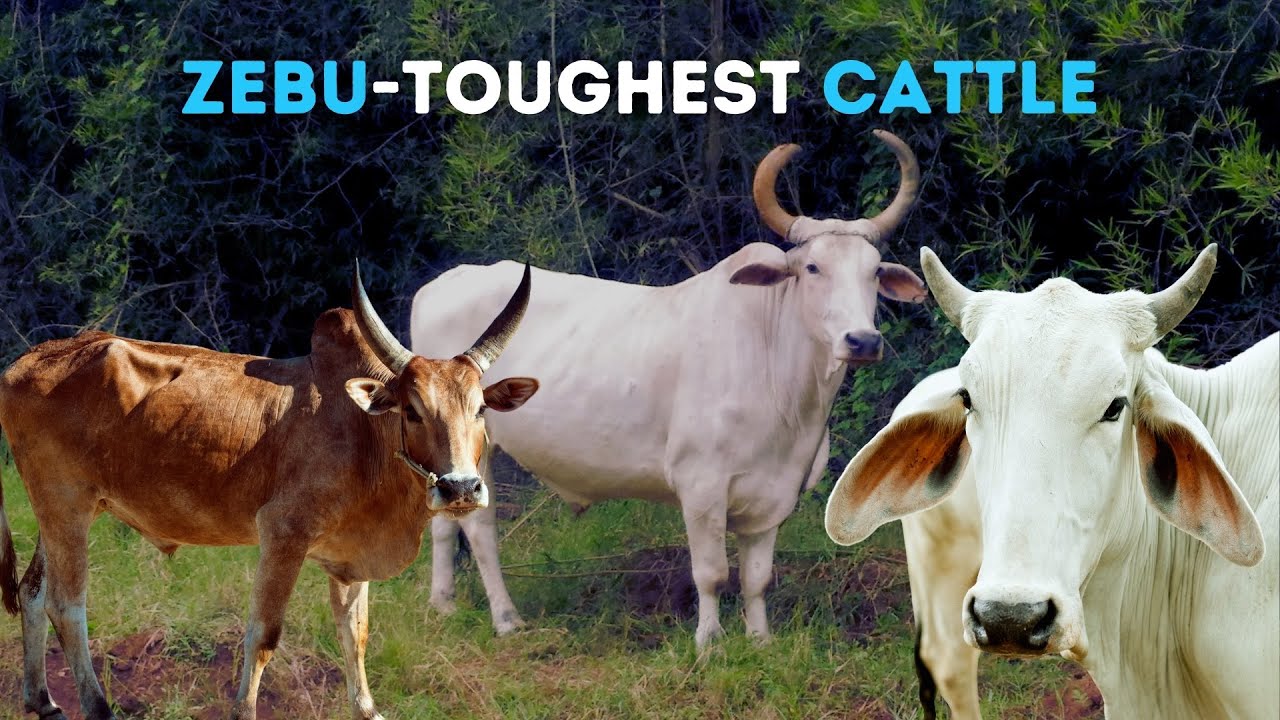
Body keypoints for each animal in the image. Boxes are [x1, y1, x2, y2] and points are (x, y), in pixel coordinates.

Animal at [0, 264, 539, 720]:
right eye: (412, 410)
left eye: (480, 408)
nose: (461, 487)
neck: (365, 432)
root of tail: (23, 363)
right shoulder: (283, 535)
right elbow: (262, 637)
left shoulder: (349, 560)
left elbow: (355, 634)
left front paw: (367, 709)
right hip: (66, 505)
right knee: (66, 606)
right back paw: (96, 707)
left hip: (66, 511)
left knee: (32, 591)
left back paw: (43, 700)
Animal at [410, 130, 930, 647]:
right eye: (814, 268)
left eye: (875, 271)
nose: (862, 340)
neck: (788, 397)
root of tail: (442, 285)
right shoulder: (700, 484)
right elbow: (712, 573)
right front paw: (709, 642)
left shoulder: (777, 493)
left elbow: (757, 577)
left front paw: (759, 639)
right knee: (479, 528)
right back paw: (505, 617)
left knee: (444, 522)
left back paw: (442, 604)